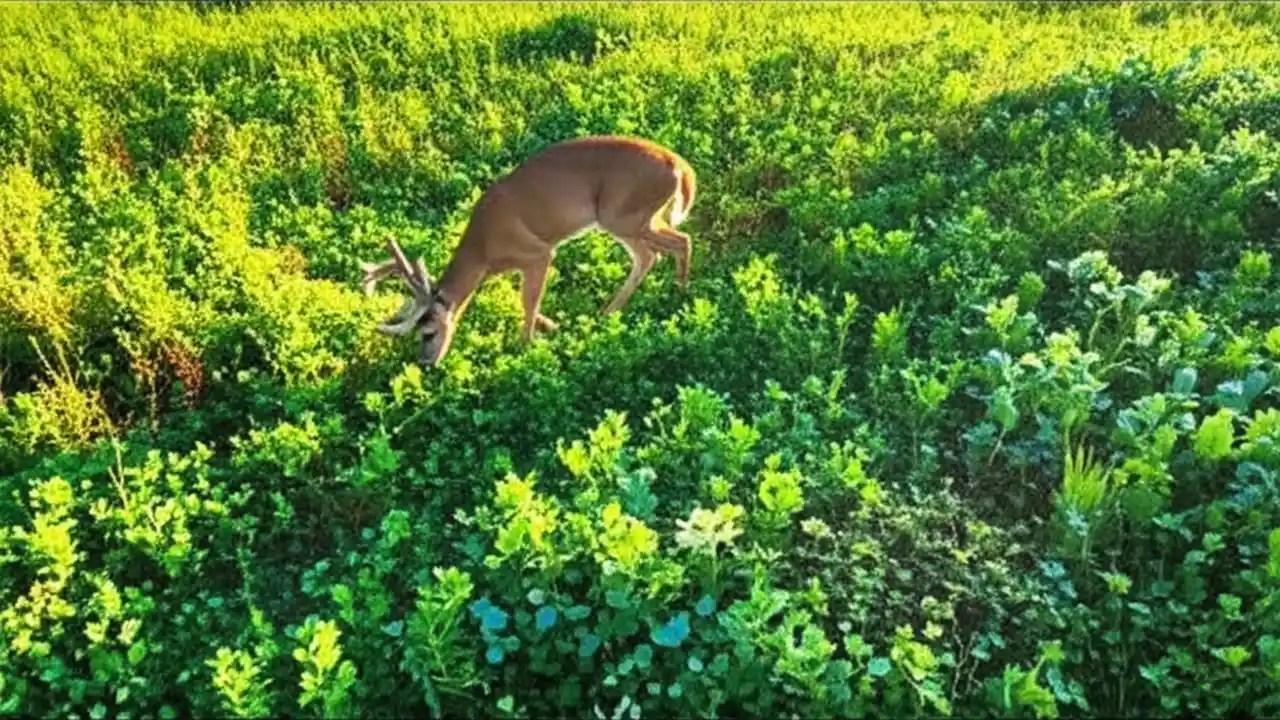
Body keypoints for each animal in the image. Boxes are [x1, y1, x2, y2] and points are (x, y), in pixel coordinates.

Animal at [358, 135, 697, 366]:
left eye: (428, 332)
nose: (425, 364)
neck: (484, 250)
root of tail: (679, 166)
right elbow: (521, 298)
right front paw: (552, 325)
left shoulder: (539, 253)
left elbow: (527, 301)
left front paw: (524, 349)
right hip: (633, 218)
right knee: (653, 253)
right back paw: (611, 311)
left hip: (622, 215)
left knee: (676, 243)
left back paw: (674, 297)